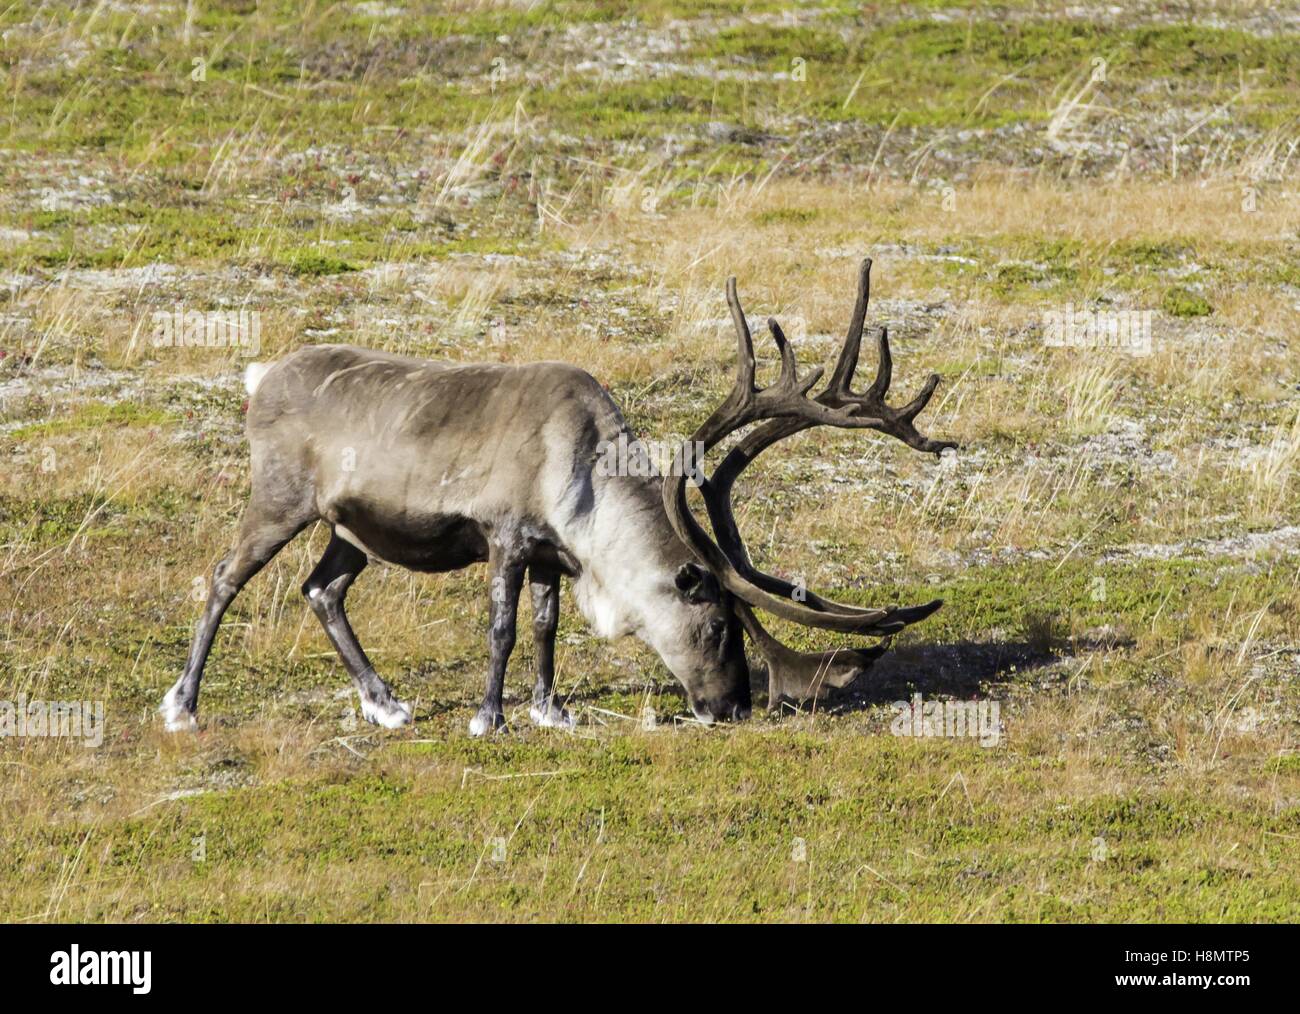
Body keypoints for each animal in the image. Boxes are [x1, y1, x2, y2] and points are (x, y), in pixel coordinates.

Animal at [161, 258, 955, 737]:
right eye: (717, 625)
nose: (728, 707)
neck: (587, 481)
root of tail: (259, 376)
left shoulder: (550, 554)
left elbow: (545, 628)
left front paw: (551, 710)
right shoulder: (506, 535)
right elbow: (503, 629)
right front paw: (490, 717)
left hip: (350, 529)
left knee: (322, 590)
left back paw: (385, 704)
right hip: (279, 499)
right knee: (223, 578)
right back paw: (183, 706)